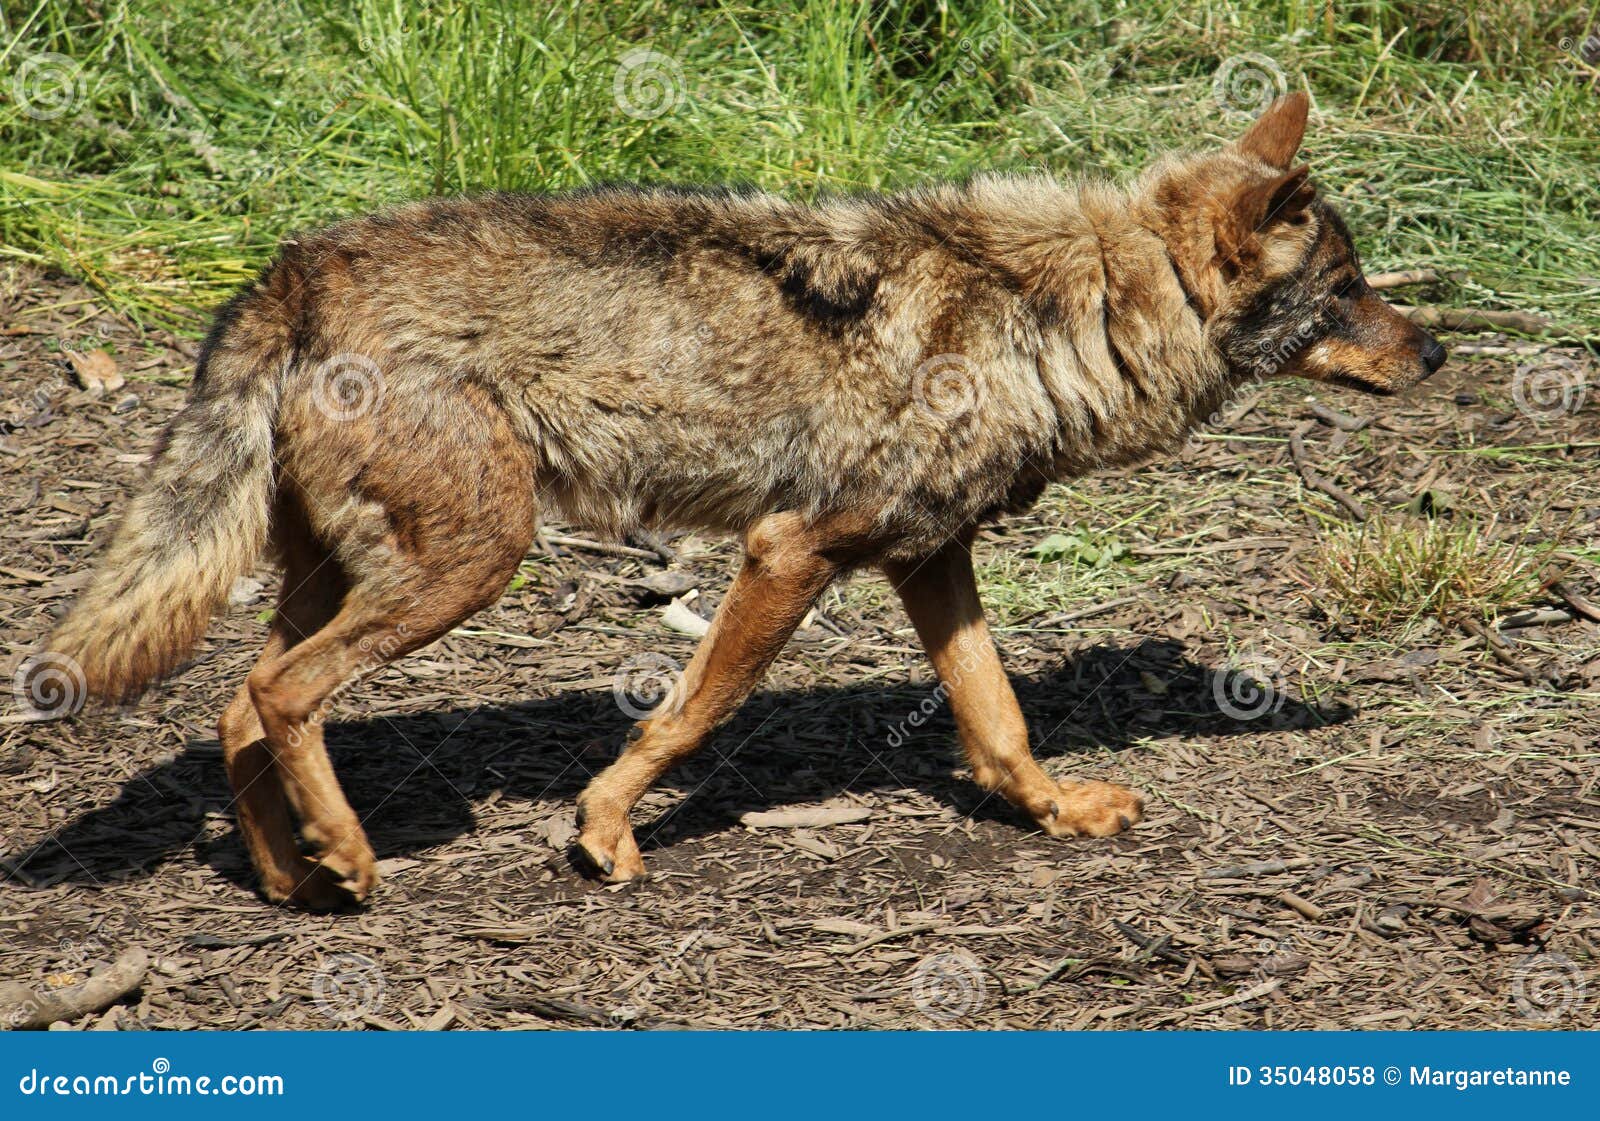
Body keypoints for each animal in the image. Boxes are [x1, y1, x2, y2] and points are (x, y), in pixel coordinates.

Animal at [29, 93, 1444, 907]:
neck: (1066, 311)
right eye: (1349, 290)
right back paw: (355, 860)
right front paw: (601, 829)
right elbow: (690, 715)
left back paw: (290, 881)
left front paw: (1056, 812)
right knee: (279, 692)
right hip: (475, 561)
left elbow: (999, 721)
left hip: (357, 571)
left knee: (235, 704)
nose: (1434, 351)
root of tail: (292, 266)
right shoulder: (786, 551)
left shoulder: (928, 557)